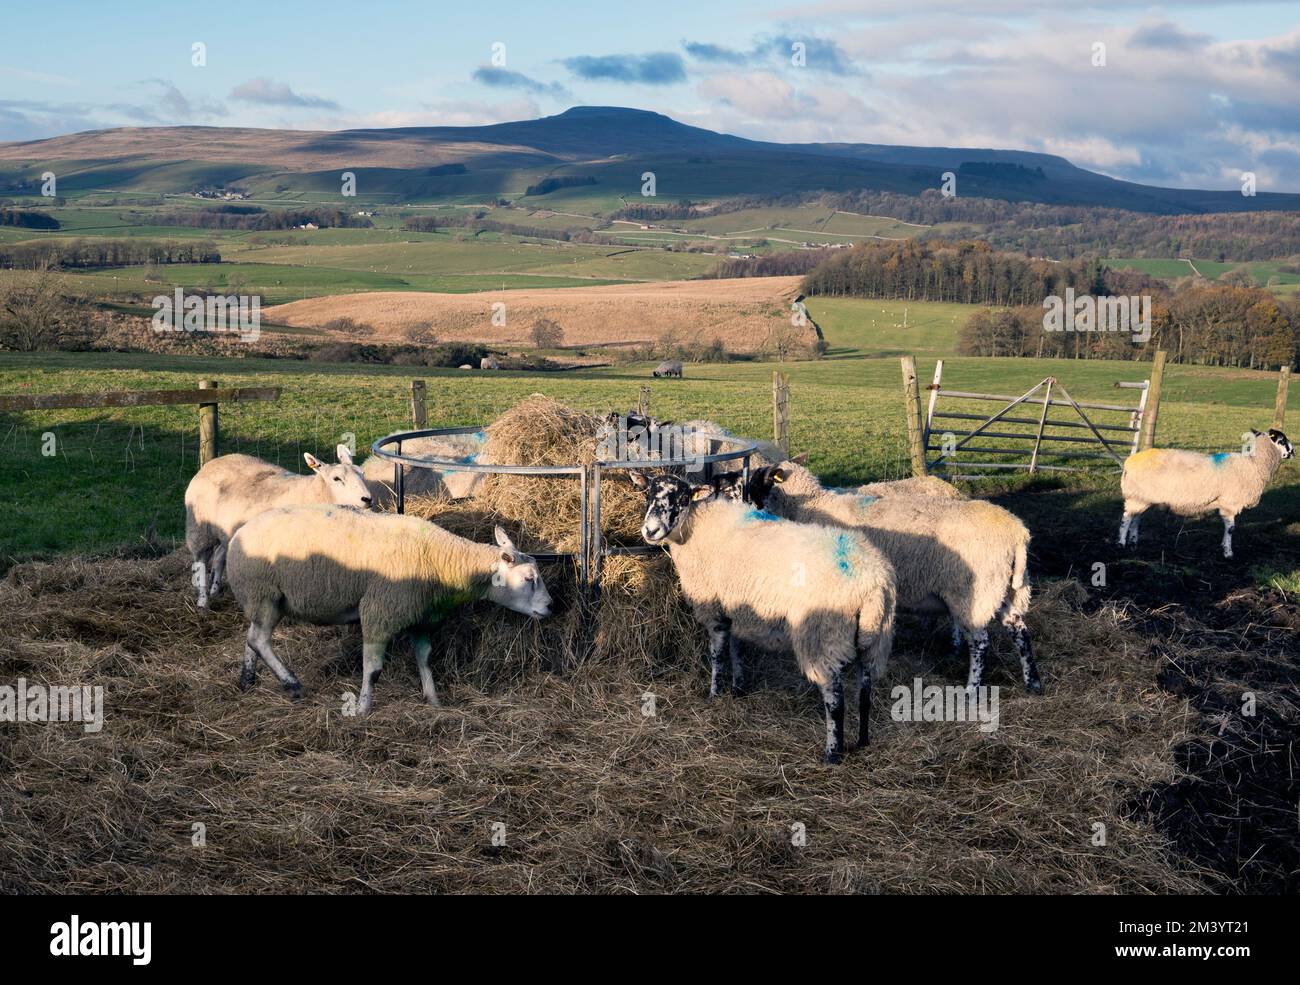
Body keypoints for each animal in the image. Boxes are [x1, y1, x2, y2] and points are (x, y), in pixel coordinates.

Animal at [185, 446, 371, 609]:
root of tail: (212, 463)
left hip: (227, 532)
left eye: (362, 474)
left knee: (219, 557)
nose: (367, 499)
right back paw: (203, 601)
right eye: (336, 479)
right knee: (200, 564)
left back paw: (215, 589)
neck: (313, 494)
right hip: (199, 530)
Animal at [226, 506, 553, 711]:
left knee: (251, 638)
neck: (441, 560)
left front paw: (434, 700)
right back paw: (291, 684)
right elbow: (373, 670)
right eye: (529, 578)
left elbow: (425, 661)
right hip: (264, 593)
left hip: (262, 599)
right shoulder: (379, 612)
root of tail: (237, 534)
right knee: (259, 640)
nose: (551, 606)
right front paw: (362, 709)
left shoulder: (422, 619)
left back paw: (247, 680)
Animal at [629, 471, 896, 764]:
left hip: (823, 636)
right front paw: (738, 689)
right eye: (648, 495)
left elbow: (718, 655)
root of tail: (872, 583)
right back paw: (863, 741)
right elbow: (736, 650)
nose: (650, 531)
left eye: (683, 498)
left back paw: (832, 754)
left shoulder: (714, 607)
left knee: (835, 699)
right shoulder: (735, 608)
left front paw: (714, 694)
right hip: (875, 641)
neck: (696, 528)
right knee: (865, 691)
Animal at [746, 460, 1041, 696]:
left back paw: (971, 689)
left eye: (757, 481)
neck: (811, 505)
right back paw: (1033, 683)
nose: (747, 505)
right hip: (1006, 589)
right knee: (1019, 631)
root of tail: (1018, 534)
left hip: (975, 591)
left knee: (981, 642)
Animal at [1118, 428, 1293, 559]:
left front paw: (1223, 546)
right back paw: (1120, 544)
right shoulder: (1230, 503)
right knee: (1126, 519)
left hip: (1141, 497)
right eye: (1282, 440)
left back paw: (1133, 543)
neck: (1253, 464)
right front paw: (1228, 553)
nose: (1294, 452)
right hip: (1137, 497)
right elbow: (1231, 529)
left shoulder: (1224, 503)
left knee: (1136, 519)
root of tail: (1128, 463)